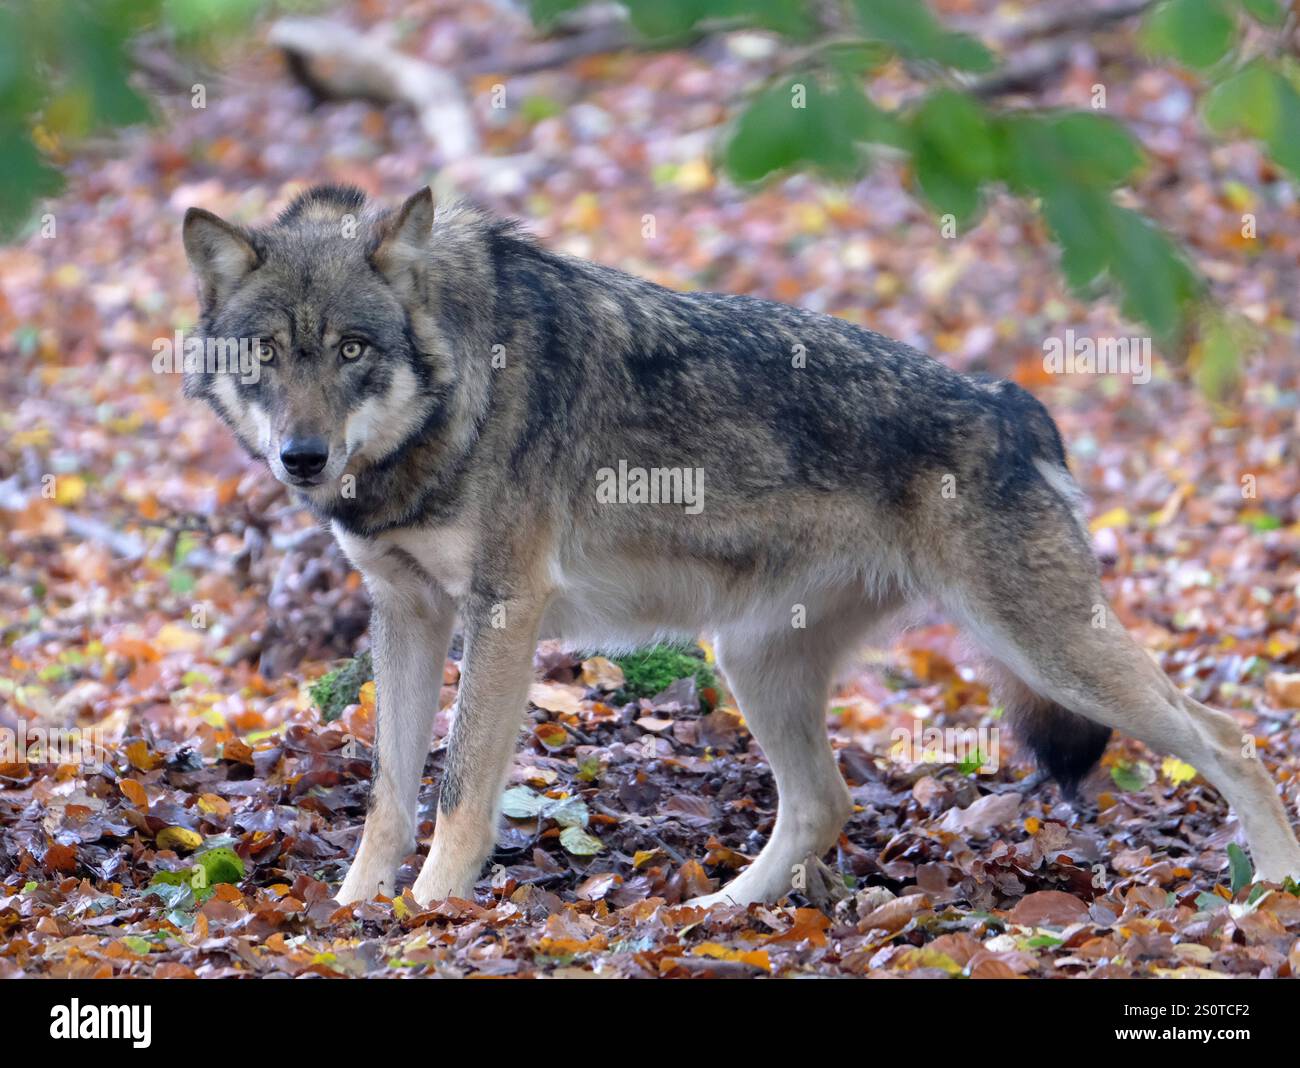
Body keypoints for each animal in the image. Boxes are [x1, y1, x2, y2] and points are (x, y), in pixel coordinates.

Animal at [182, 184, 1300, 907]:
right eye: (269, 353)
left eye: (352, 351)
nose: (301, 456)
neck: (456, 393)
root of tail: (1013, 402)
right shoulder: (406, 611)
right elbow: (388, 789)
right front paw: (353, 910)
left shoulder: (503, 610)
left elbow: (457, 789)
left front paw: (426, 916)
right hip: (755, 660)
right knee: (824, 804)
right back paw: (714, 914)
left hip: (1046, 650)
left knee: (1231, 737)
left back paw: (1276, 888)